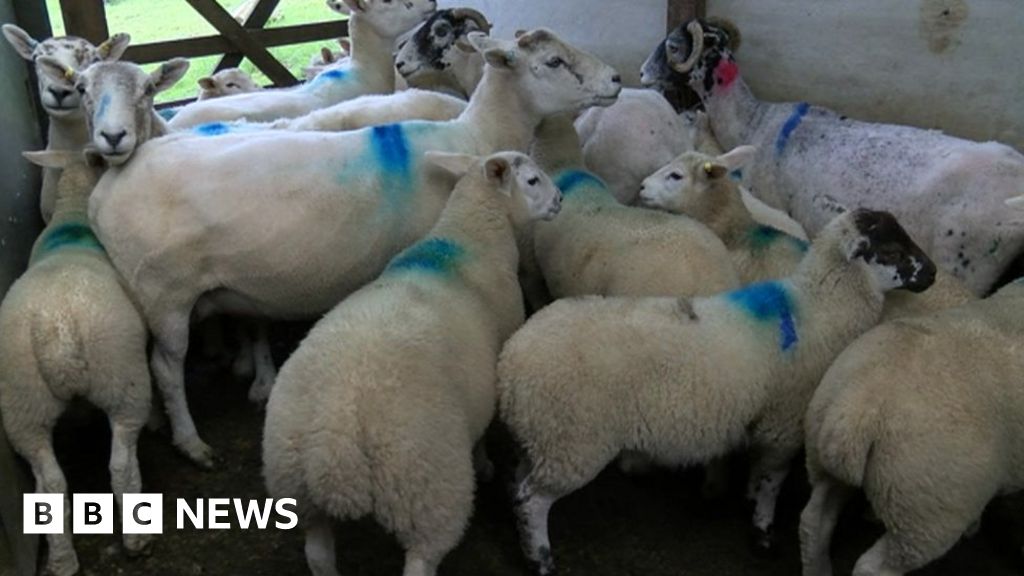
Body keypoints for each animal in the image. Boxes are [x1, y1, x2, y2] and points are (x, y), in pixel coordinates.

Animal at [0, 150, 152, 576]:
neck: (72, 210)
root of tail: (55, 331)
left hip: (22, 404)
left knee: (50, 483)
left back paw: (63, 558)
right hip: (122, 379)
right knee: (119, 464)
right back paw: (136, 536)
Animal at [89, 29, 621, 467]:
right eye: (553, 61)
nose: (616, 78)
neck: (474, 136)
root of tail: (109, 184)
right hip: (165, 293)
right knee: (166, 367)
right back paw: (190, 442)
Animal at [263, 150, 560, 576]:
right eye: (533, 180)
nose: (560, 202)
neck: (469, 237)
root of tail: (337, 437)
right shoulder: (488, 374)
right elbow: (483, 432)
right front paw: (486, 464)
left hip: (296, 488)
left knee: (317, 554)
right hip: (427, 489)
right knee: (423, 554)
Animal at [498, 209, 936, 575]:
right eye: (892, 250)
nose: (932, 273)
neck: (818, 312)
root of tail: (511, 364)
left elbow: (755, 474)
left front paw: (740, 497)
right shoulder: (783, 424)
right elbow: (771, 481)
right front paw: (762, 532)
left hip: (540, 439)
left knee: (518, 487)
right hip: (572, 442)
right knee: (531, 501)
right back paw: (541, 561)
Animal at [800, 279, 1024, 576]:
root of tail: (860, 409)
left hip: (825, 455)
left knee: (814, 522)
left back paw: (819, 566)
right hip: (926, 508)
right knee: (873, 567)